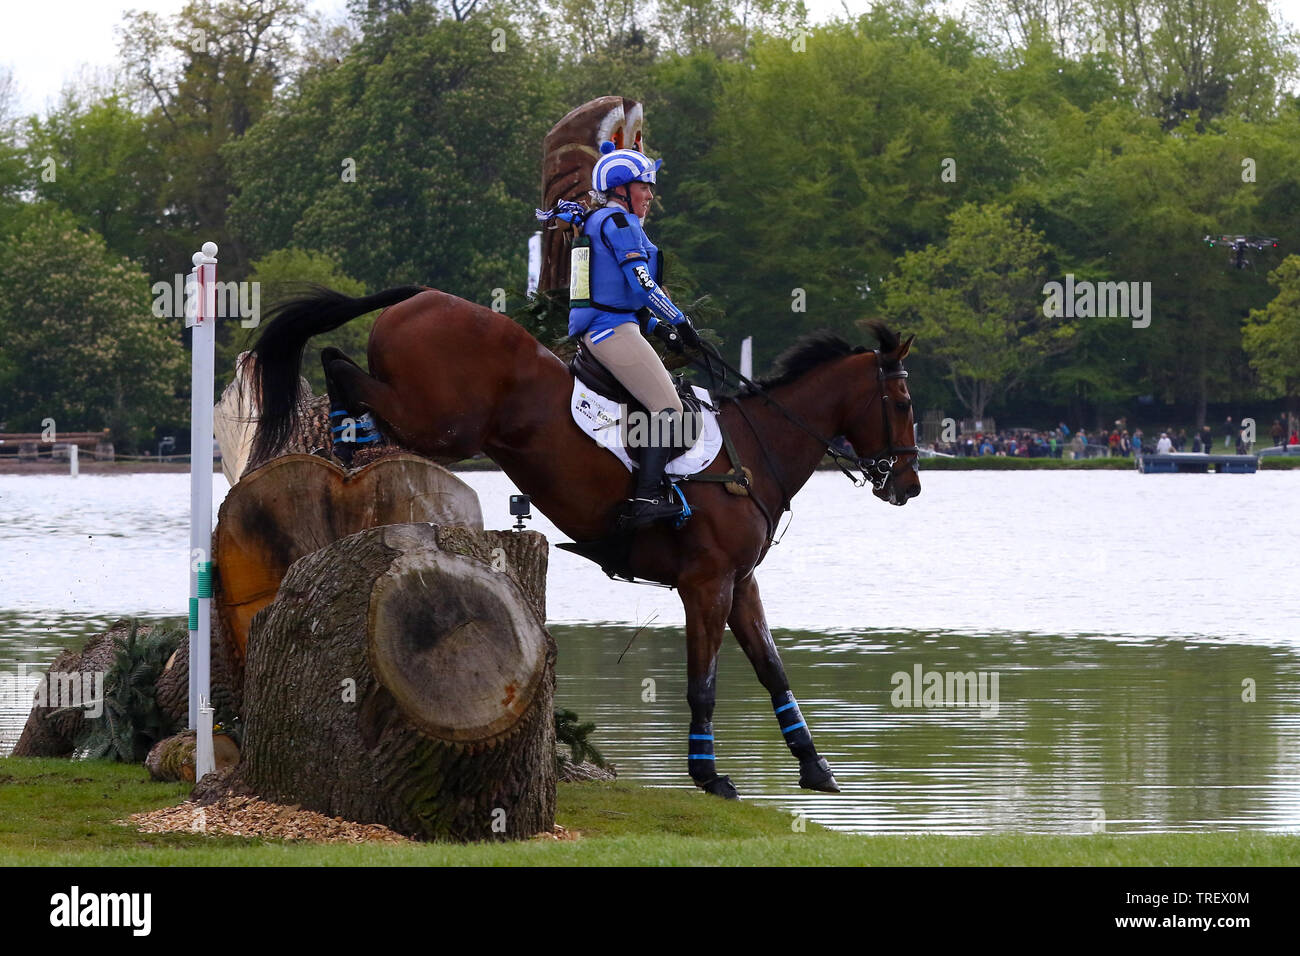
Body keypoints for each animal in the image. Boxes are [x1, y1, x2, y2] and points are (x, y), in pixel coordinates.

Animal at [249, 286, 920, 799]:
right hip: (443, 424)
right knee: (337, 361)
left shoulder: (740, 581)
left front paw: (815, 767)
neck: (753, 452)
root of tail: (420, 296)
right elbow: (702, 683)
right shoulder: (705, 585)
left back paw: (345, 437)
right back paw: (341, 430)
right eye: (903, 401)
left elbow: (773, 669)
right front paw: (709, 777)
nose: (908, 484)